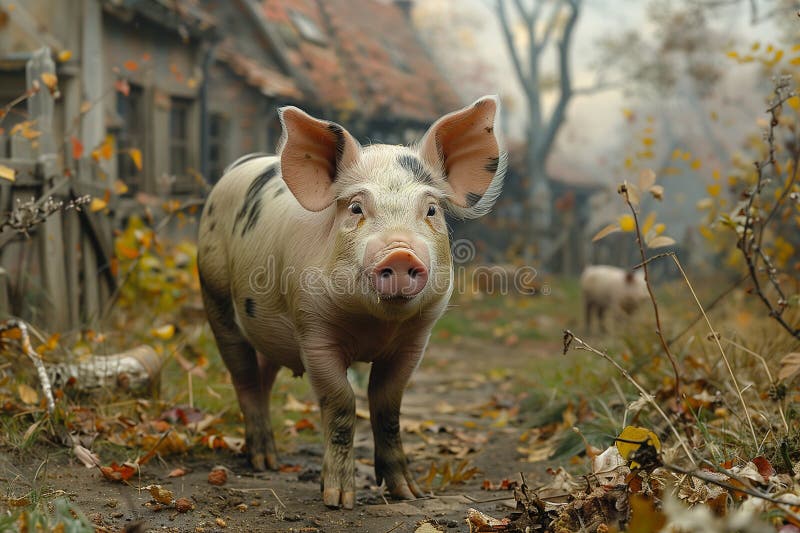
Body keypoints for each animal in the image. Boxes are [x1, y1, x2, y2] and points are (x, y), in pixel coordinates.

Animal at [197, 96, 506, 509]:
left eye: (431, 210)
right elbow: (341, 403)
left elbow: (388, 405)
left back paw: (273, 461)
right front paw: (338, 500)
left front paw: (409, 493)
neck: (375, 326)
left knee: (263, 378)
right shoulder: (312, 332)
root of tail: (237, 167)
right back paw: (261, 462)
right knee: (243, 375)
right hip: (214, 294)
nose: (400, 253)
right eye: (357, 208)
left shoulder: (414, 341)